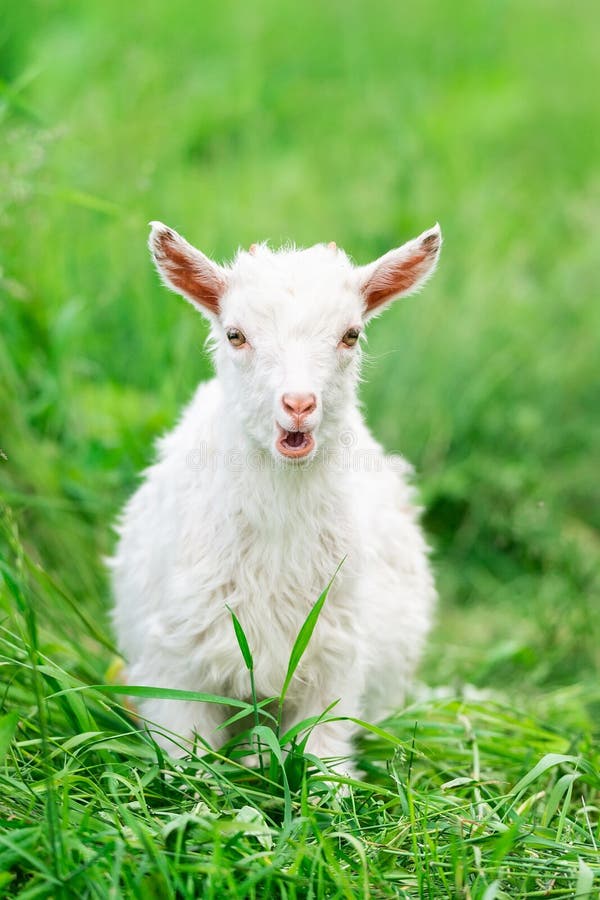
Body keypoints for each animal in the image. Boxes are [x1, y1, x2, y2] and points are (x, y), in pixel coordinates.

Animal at [110, 221, 442, 771]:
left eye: (351, 334)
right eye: (235, 334)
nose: (299, 405)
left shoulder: (335, 658)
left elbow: (323, 757)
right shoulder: (175, 664)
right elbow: (188, 763)